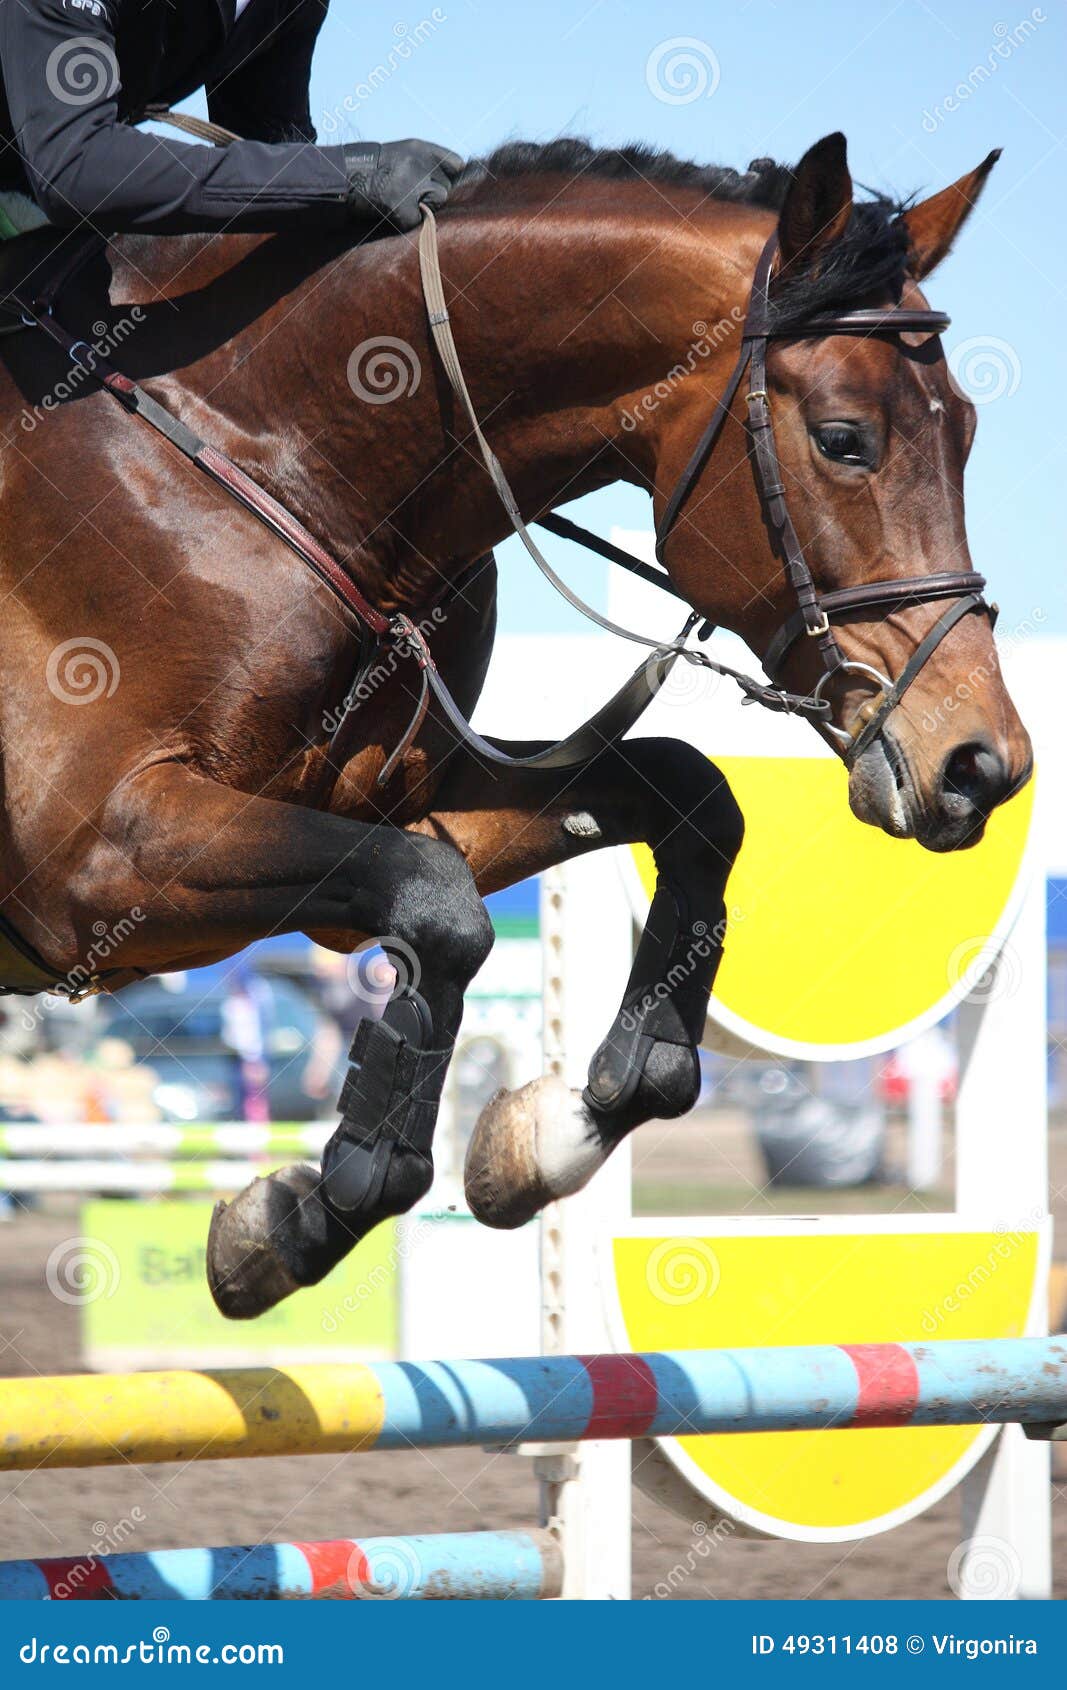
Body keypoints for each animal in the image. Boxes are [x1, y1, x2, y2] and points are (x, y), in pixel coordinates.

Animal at [0, 132, 1031, 1318]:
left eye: (966, 431)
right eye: (842, 439)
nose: (981, 763)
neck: (267, 457)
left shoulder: (389, 812)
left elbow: (690, 799)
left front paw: (552, 1134)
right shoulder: (96, 864)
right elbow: (443, 914)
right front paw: (302, 1215)